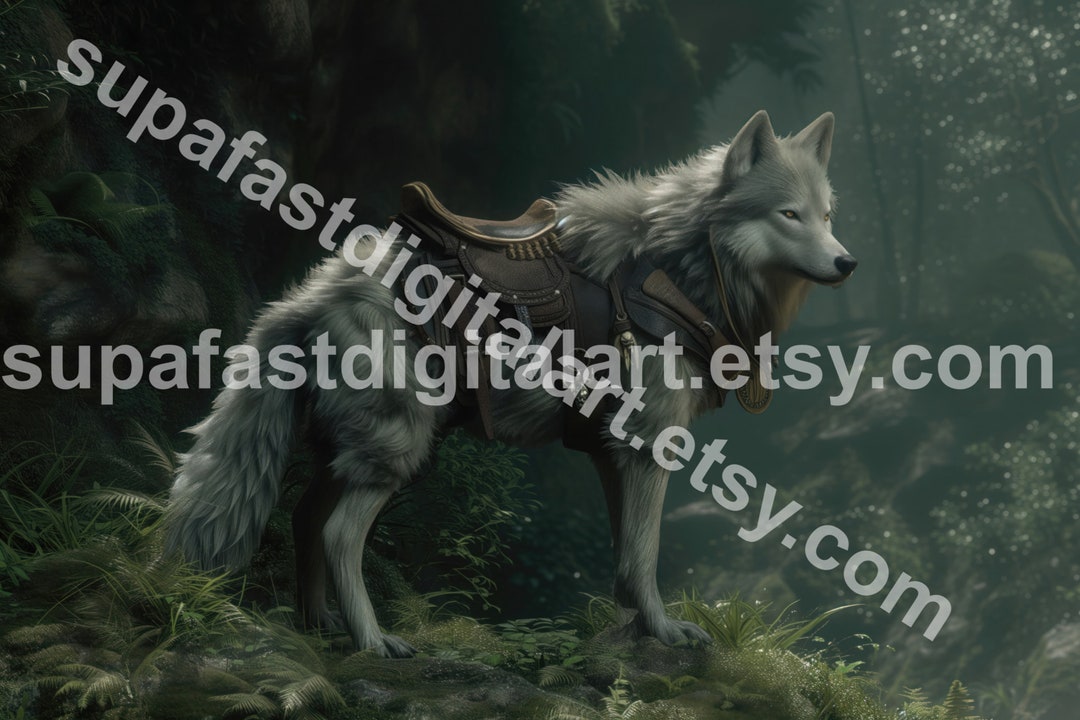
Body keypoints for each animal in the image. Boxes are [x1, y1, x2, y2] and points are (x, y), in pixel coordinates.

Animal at [165, 110, 856, 657]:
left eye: (826, 216)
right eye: (789, 215)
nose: (848, 261)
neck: (674, 265)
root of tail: (309, 295)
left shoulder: (608, 448)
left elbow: (625, 560)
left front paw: (629, 632)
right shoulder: (646, 443)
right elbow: (646, 555)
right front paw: (663, 632)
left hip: (354, 452)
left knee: (305, 518)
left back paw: (319, 628)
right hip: (398, 448)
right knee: (337, 535)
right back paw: (374, 642)